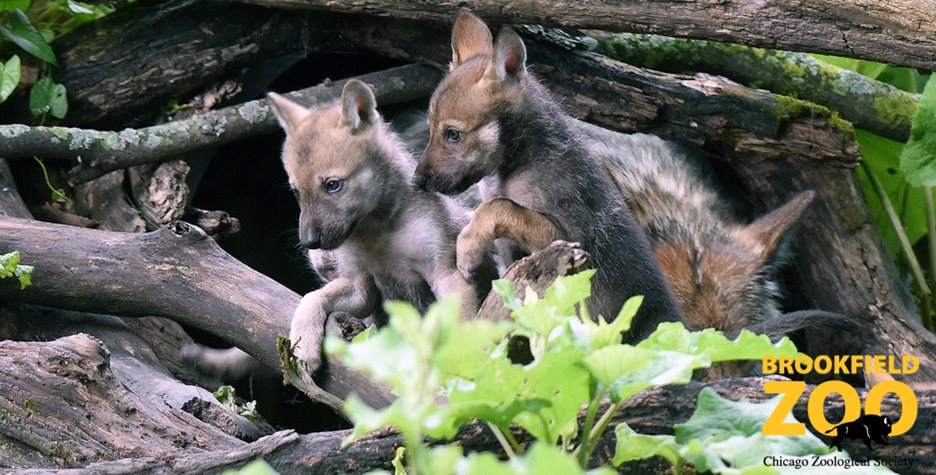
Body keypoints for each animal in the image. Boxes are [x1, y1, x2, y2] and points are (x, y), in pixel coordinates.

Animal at [267, 79, 497, 376]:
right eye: (297, 192)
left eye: (333, 185)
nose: (309, 243)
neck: (378, 232)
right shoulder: (361, 287)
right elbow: (312, 298)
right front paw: (302, 343)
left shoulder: (446, 274)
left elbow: (461, 329)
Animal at [413, 11, 687, 340]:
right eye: (430, 130)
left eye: (453, 134)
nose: (418, 181)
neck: (513, 167)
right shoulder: (513, 253)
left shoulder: (569, 236)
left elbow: (497, 207)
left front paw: (466, 249)